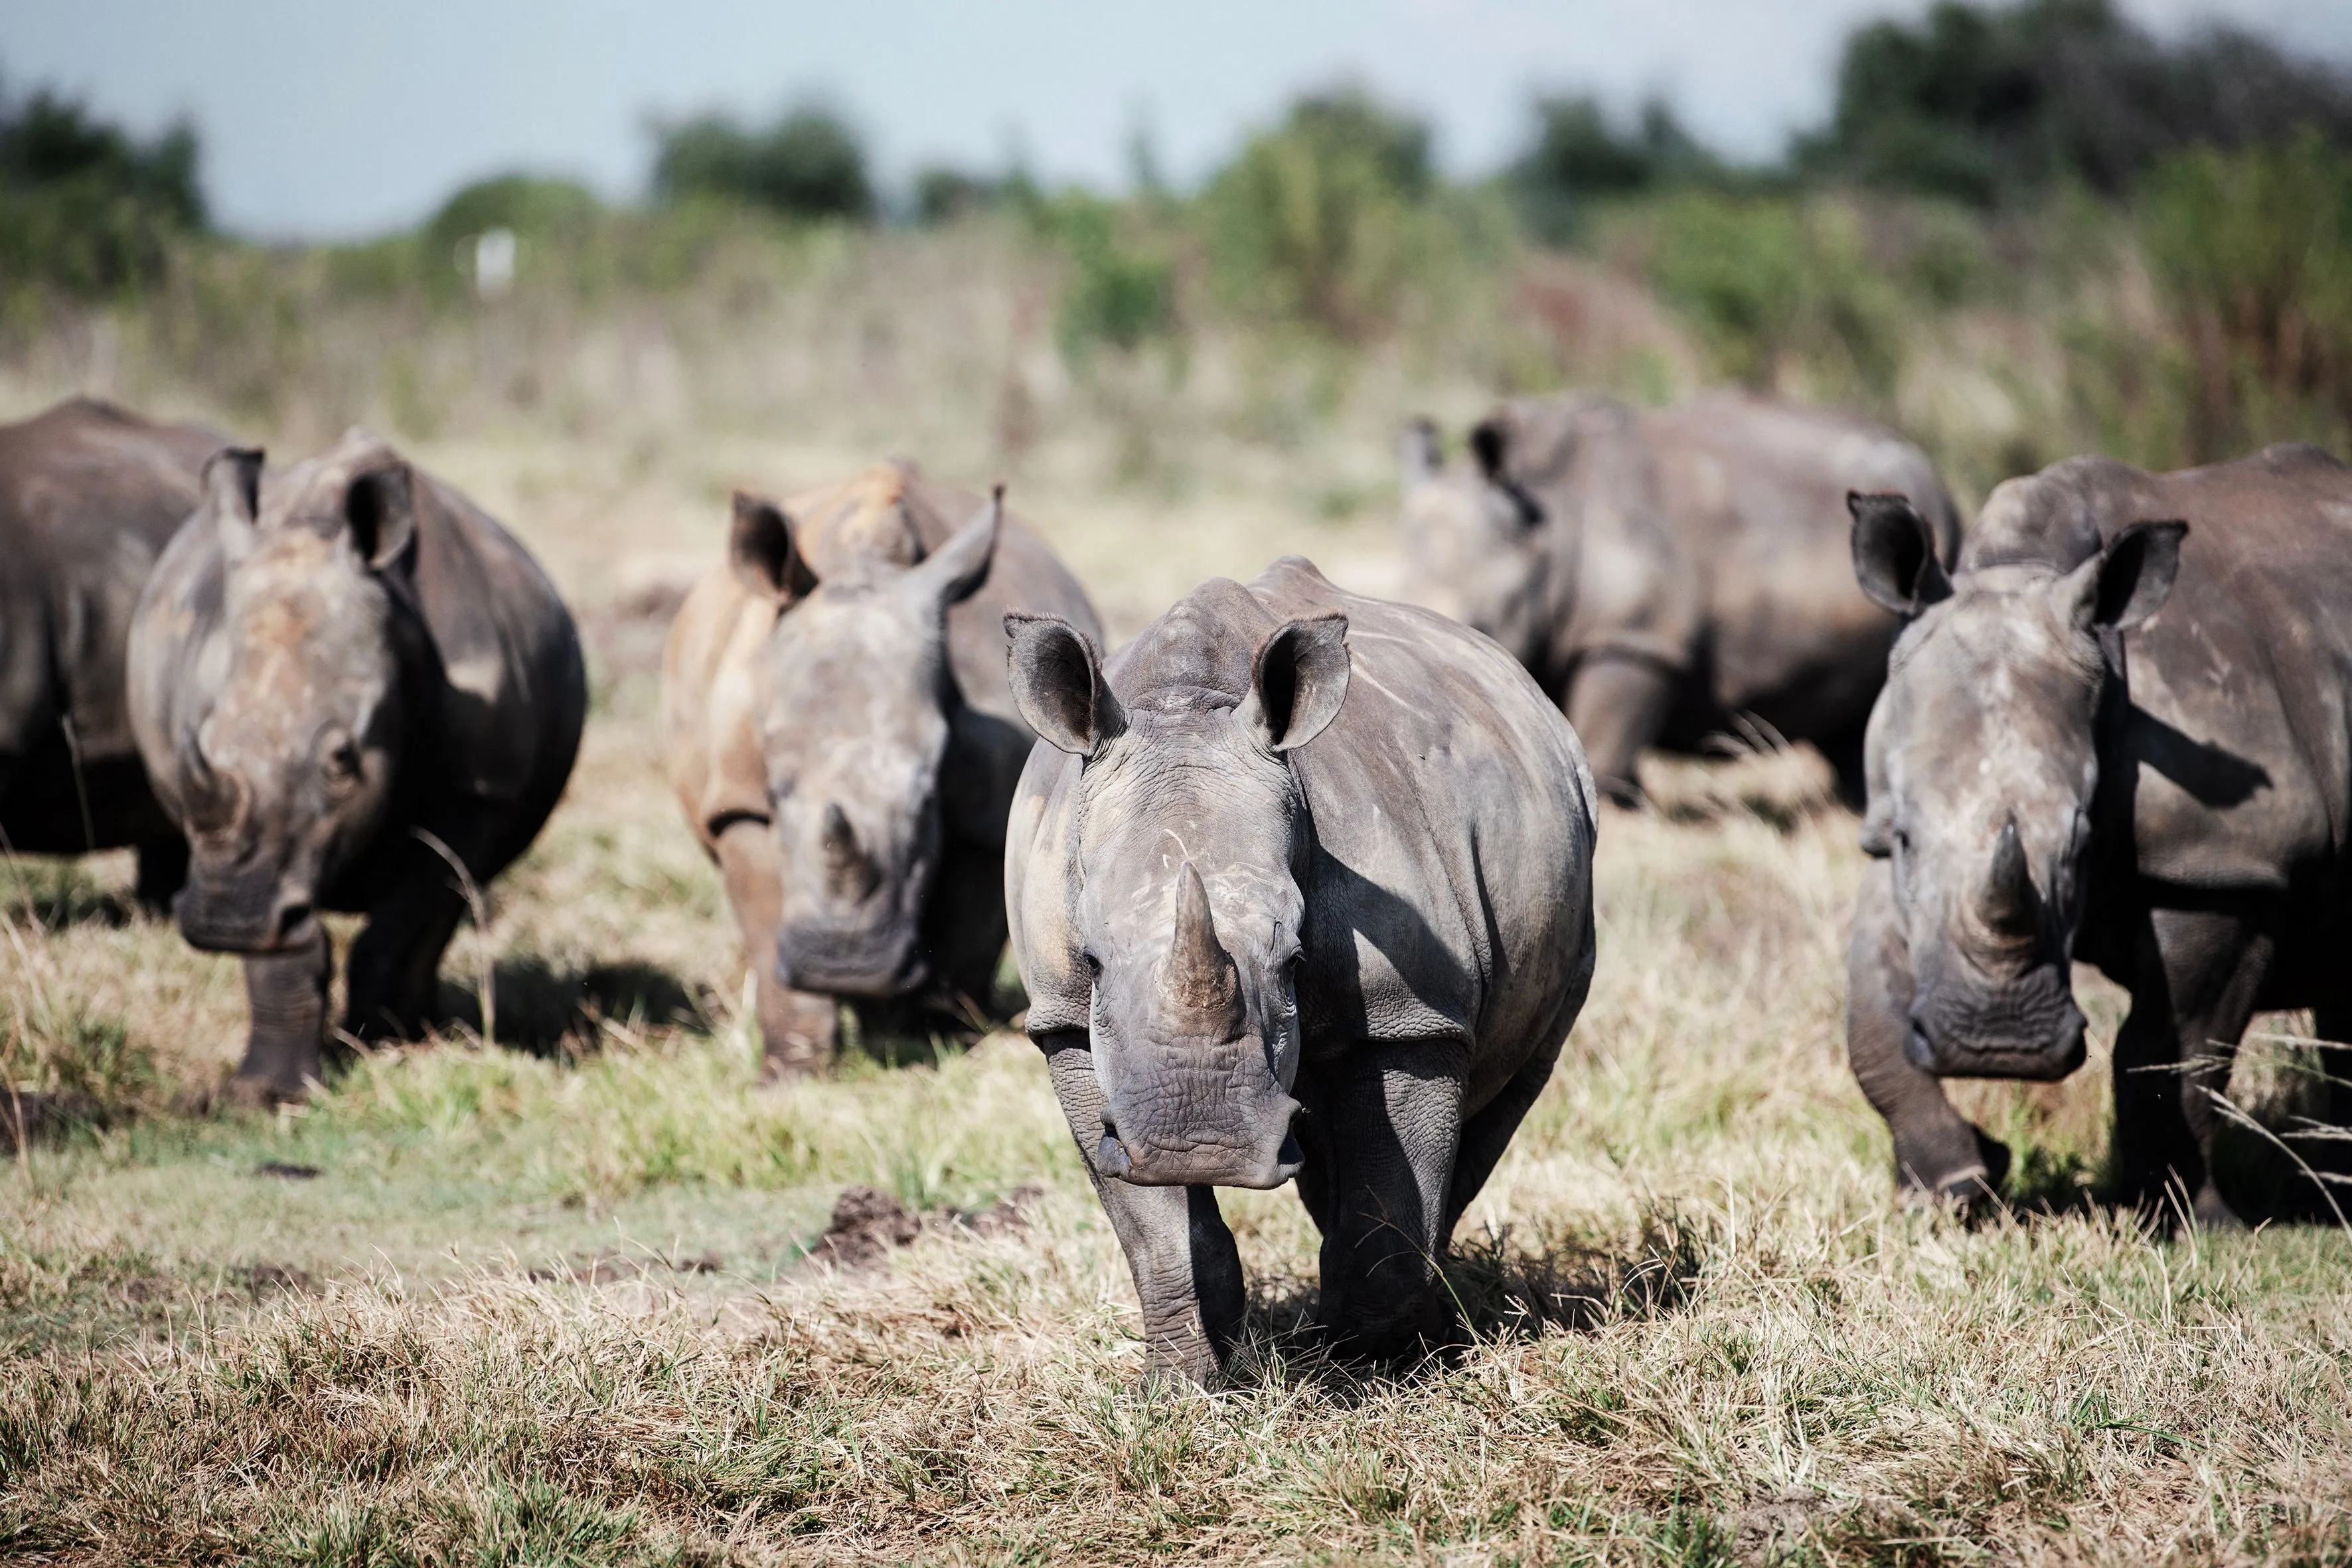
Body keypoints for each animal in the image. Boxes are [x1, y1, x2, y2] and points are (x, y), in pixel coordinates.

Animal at [128, 431, 586, 1100]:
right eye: (204, 742)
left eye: (342, 761)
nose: (224, 921)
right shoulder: (253, 853)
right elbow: (285, 944)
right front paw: (264, 1096)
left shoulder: (481, 793)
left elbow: (404, 922)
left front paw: (386, 1052)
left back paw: (420, 1030)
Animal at [661, 461, 1102, 1073]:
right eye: (775, 791)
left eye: (928, 796)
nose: (846, 963)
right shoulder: (737, 800)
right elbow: (767, 926)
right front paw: (793, 1071)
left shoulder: (988, 811)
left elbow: (967, 934)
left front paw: (931, 1039)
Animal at [1005, 556, 1598, 1383]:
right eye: (1091, 959)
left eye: (1293, 957)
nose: (1203, 1142)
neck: (1186, 701)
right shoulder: (1063, 1018)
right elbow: (1157, 1230)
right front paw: (1183, 1384)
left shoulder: (1408, 1014)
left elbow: (1391, 1202)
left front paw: (1379, 1369)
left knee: (1507, 1093)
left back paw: (1427, 1326)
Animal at [1400, 390, 1960, 804]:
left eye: (1484, 624)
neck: (1545, 522)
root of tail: (1932, 472)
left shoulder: (1635, 638)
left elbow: (1603, 737)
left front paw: (1617, 805)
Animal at [1845, 443, 2352, 1227]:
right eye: (1904, 838)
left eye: (2083, 842)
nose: (1998, 1046)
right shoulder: (1883, 833)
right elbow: (1869, 1015)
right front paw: (1953, 1186)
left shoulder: (2225, 864)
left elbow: (2172, 1052)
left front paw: (2189, 1224)